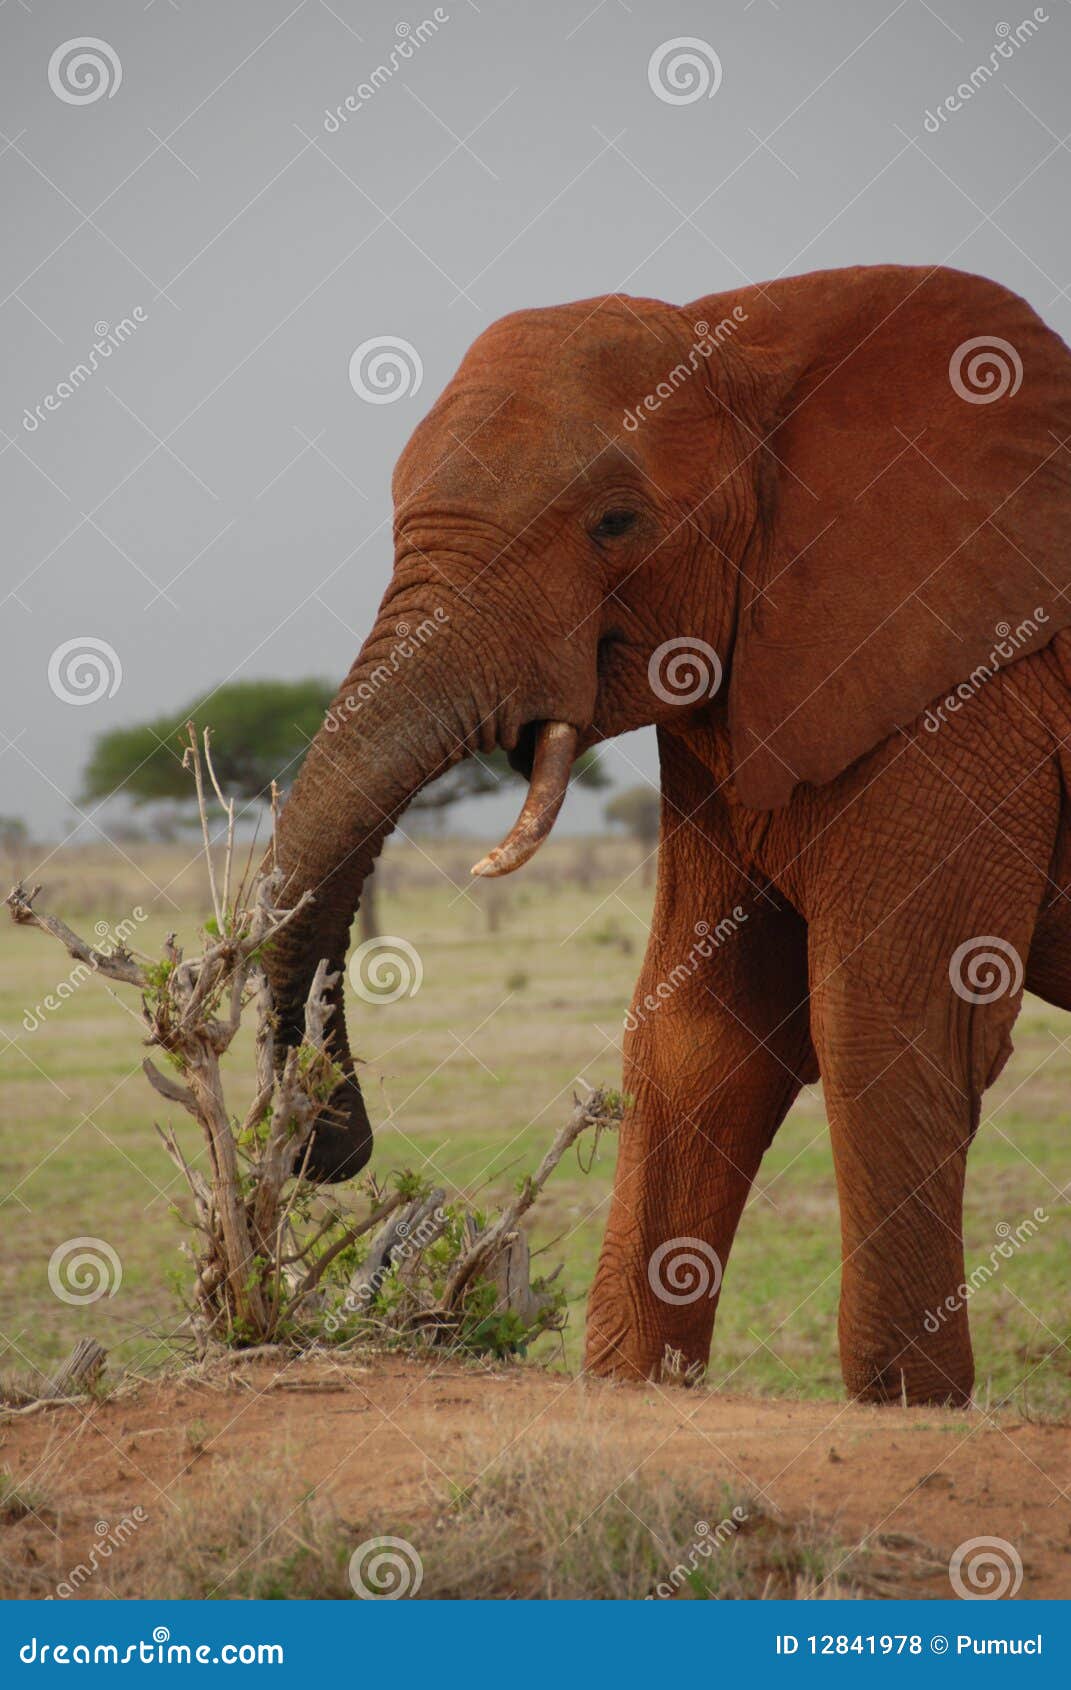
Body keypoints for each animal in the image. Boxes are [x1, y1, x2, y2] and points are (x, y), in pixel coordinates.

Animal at [264, 263, 1071, 1406]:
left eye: (615, 522)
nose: (333, 1149)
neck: (748, 342)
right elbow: (698, 1030)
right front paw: (629, 1383)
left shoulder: (967, 687)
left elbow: (888, 1018)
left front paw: (910, 1403)